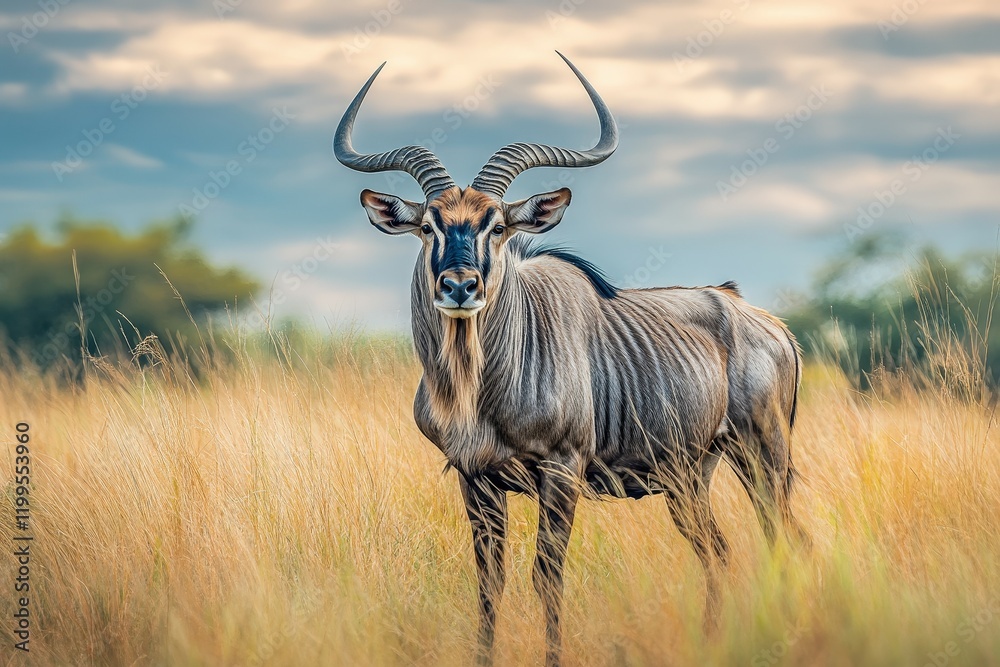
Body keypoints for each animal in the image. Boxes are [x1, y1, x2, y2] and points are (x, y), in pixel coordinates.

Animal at [334, 52, 810, 667]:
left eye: (497, 224)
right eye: (427, 224)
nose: (460, 287)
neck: (482, 388)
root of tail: (765, 321)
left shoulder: (560, 473)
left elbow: (547, 575)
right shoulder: (475, 479)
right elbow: (490, 582)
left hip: (763, 457)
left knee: (783, 539)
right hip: (690, 477)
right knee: (719, 550)